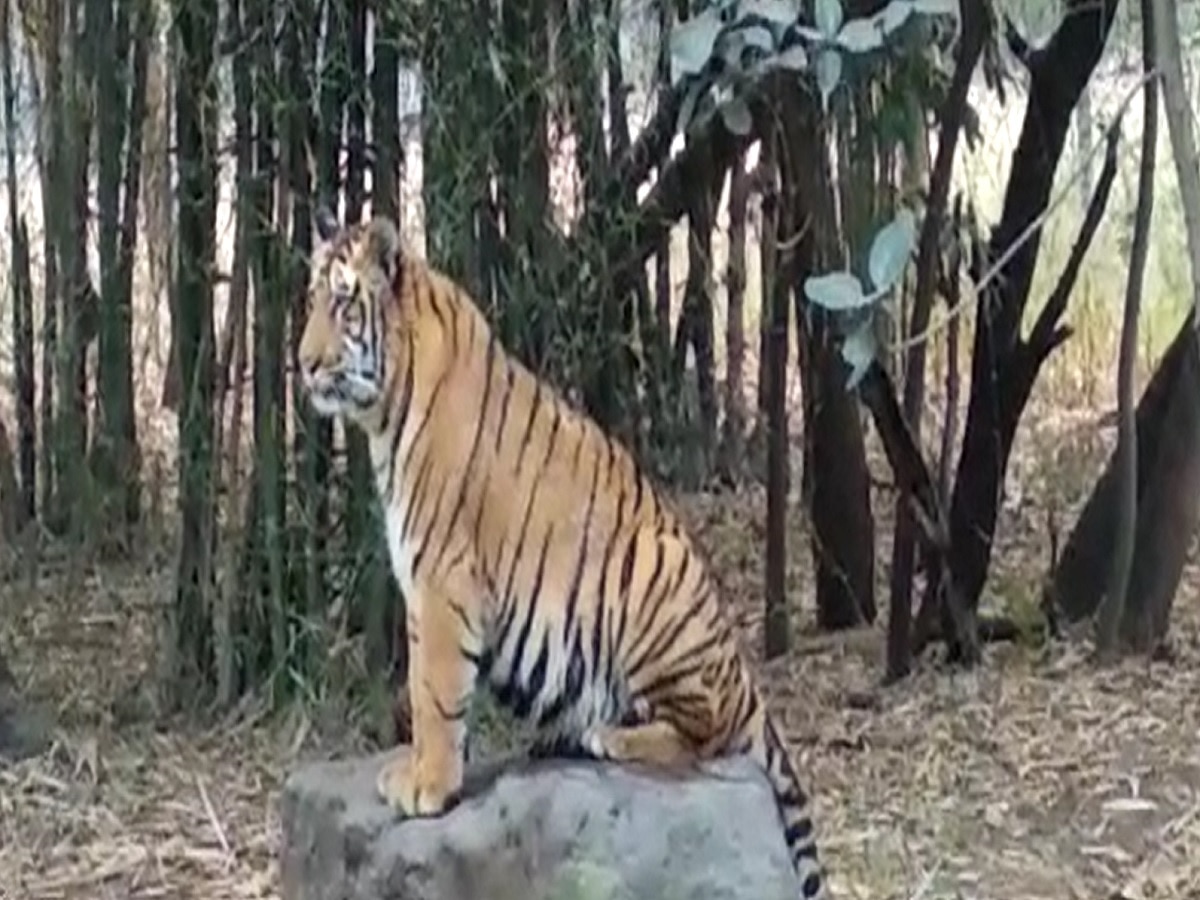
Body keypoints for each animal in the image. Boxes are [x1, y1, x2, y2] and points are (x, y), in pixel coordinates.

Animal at [296, 209, 829, 900]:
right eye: (310, 302)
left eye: (343, 303)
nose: (304, 364)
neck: (385, 408)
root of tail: (745, 677)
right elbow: (420, 689)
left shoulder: (442, 581)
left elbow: (433, 692)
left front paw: (426, 785)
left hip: (654, 582)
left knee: (709, 732)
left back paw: (608, 740)